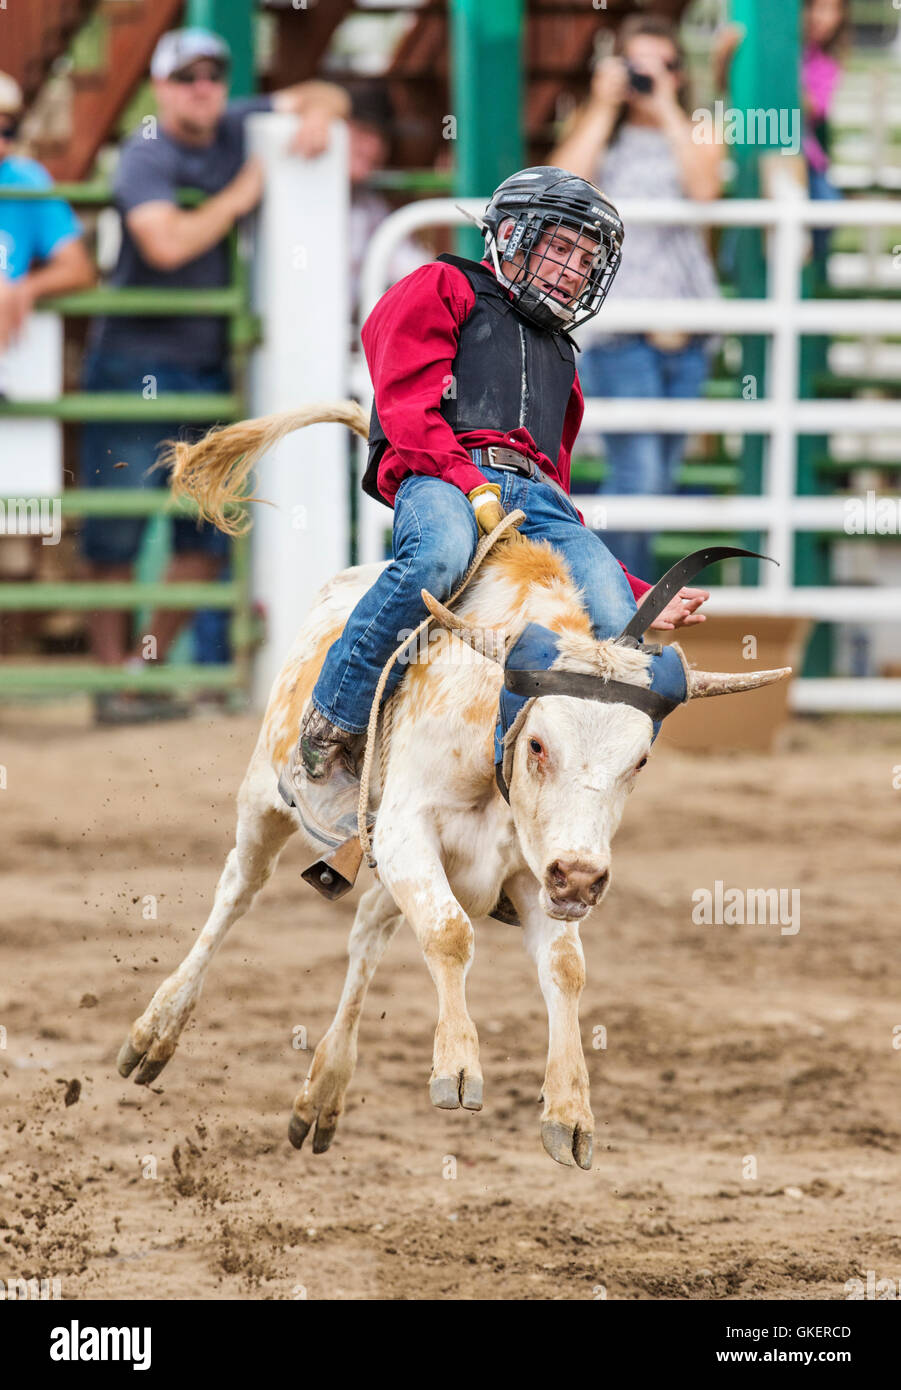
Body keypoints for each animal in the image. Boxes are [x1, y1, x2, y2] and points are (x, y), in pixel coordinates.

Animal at [117, 403, 789, 1169]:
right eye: (538, 744)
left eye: (639, 761)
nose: (583, 878)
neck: (491, 734)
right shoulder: (408, 832)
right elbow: (447, 933)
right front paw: (459, 1068)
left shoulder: (532, 871)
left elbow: (564, 966)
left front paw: (570, 1109)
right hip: (267, 798)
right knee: (237, 892)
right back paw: (155, 1034)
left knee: (366, 934)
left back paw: (322, 1094)